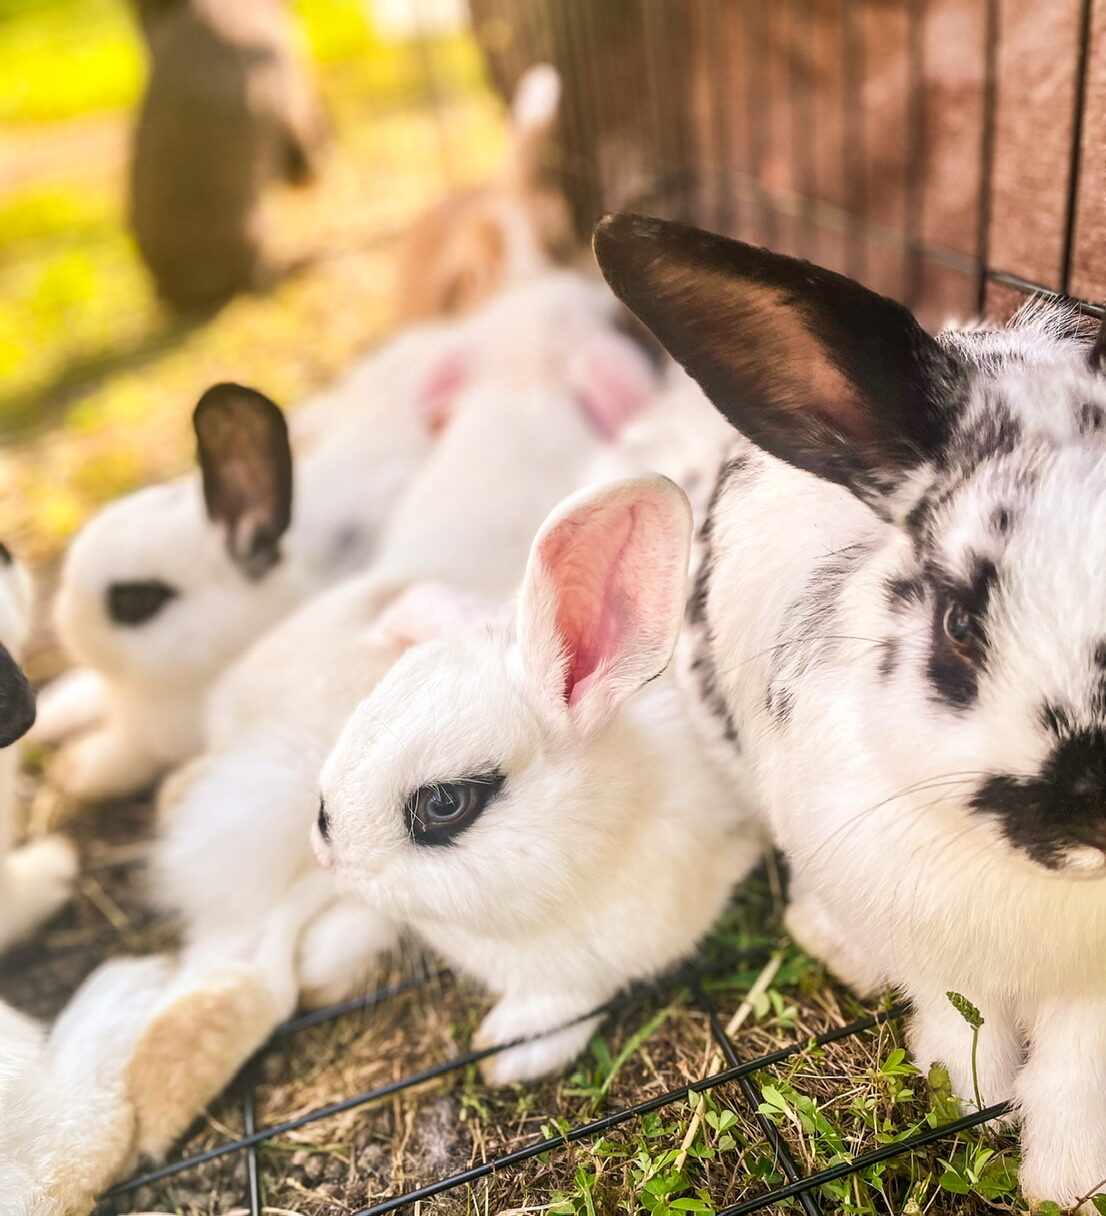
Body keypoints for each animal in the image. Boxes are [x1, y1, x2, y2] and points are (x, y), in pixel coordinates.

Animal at [594, 211, 1106, 1211]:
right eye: (959, 621)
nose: (1092, 809)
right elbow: (961, 1019)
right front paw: (964, 1091)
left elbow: (1077, 1075)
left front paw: (1066, 1182)